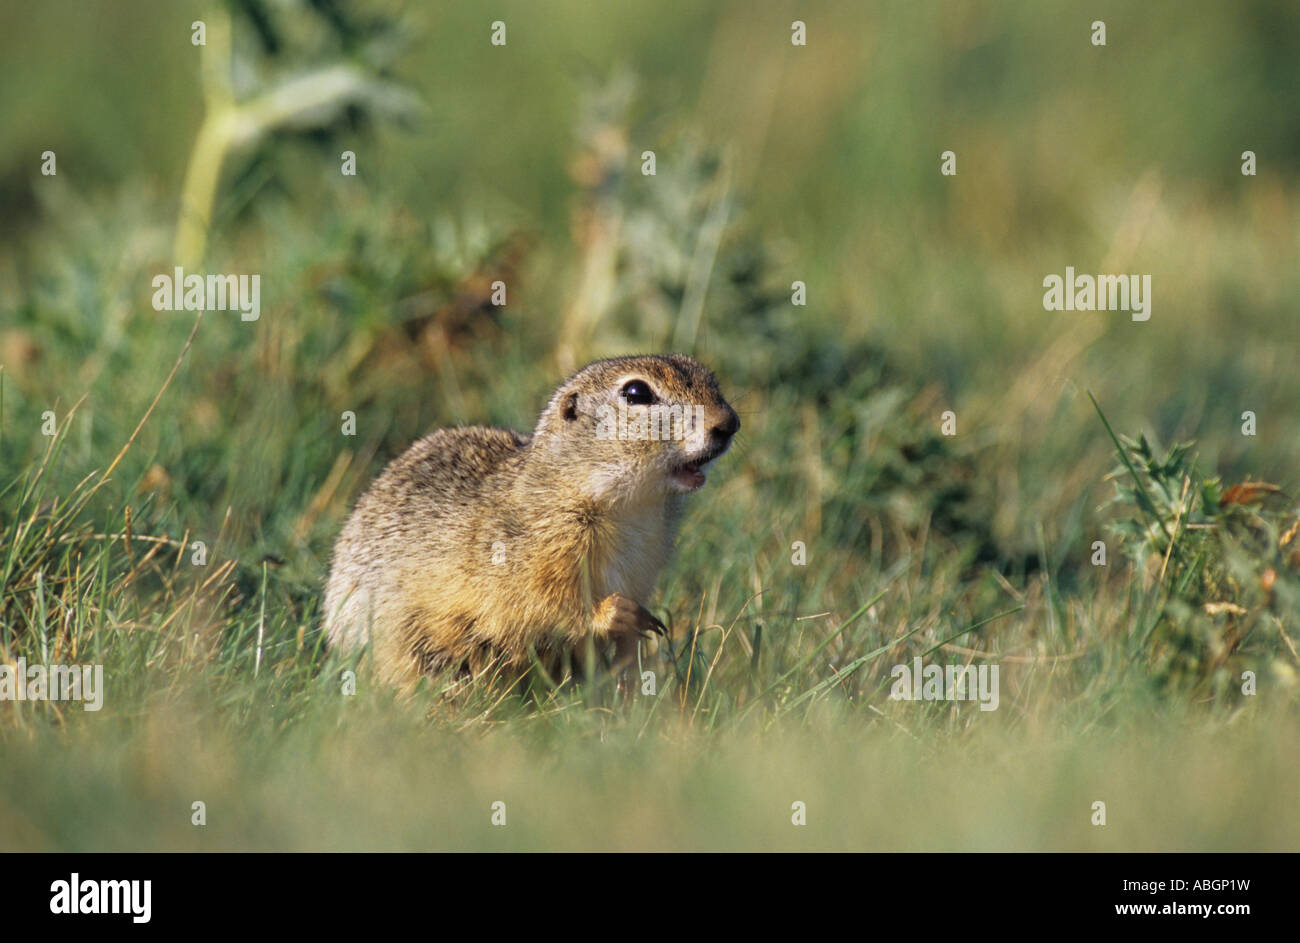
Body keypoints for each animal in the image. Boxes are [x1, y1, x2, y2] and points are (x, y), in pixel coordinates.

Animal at [323, 354, 739, 690]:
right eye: (636, 393)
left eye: (710, 377)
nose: (729, 423)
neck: (631, 508)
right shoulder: (530, 557)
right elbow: (546, 606)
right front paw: (616, 613)